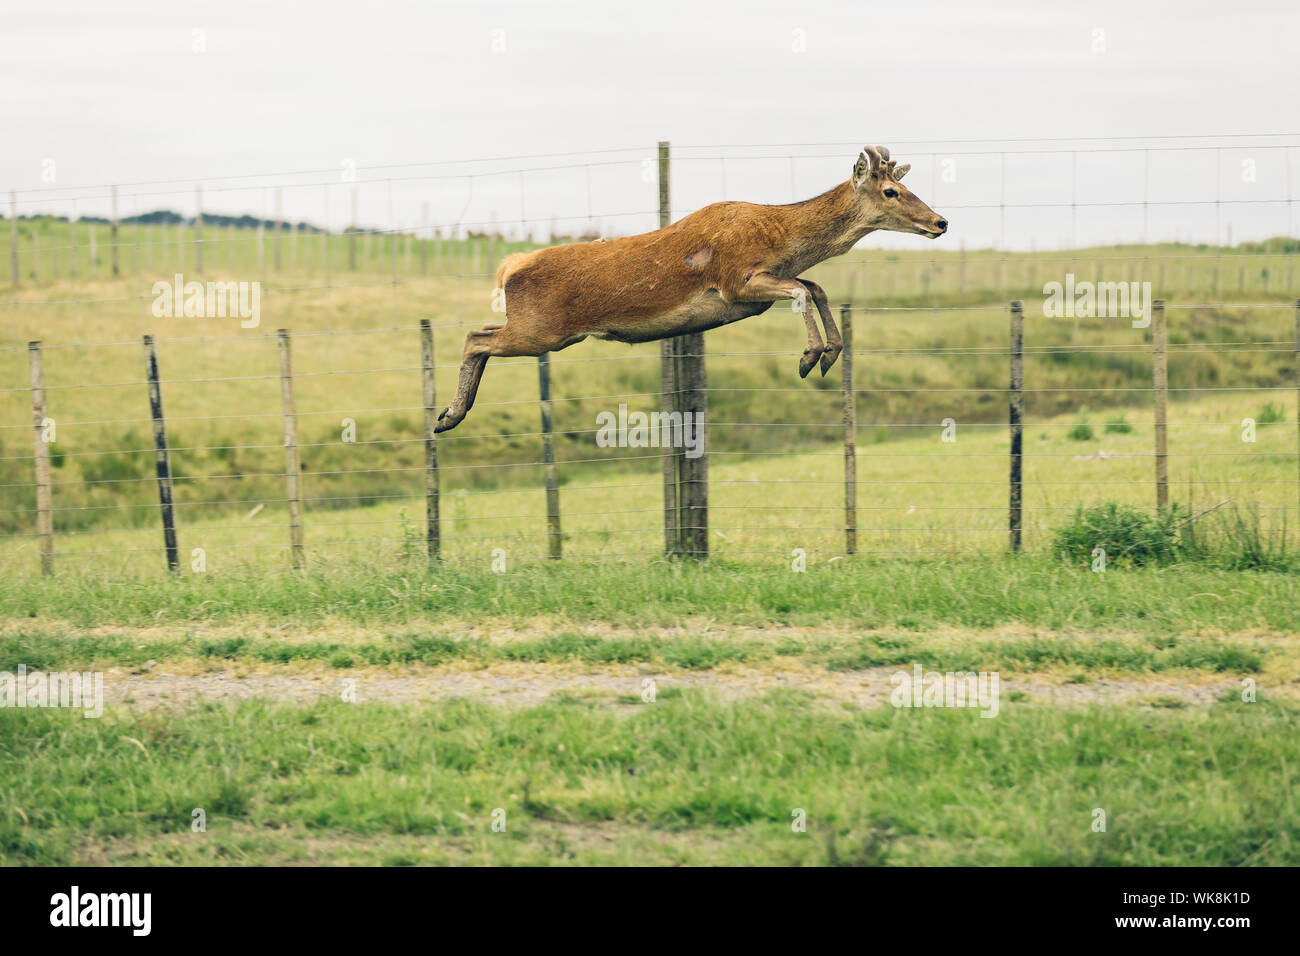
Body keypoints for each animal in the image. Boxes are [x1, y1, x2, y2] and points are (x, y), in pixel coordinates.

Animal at [434, 145, 947, 433]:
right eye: (891, 192)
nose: (941, 221)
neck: (780, 236)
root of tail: (510, 268)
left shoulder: (759, 287)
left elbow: (815, 285)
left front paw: (829, 353)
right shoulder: (734, 280)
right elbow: (804, 289)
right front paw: (808, 357)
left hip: (539, 328)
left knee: (481, 335)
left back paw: (449, 415)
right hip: (542, 329)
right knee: (474, 337)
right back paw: (450, 415)